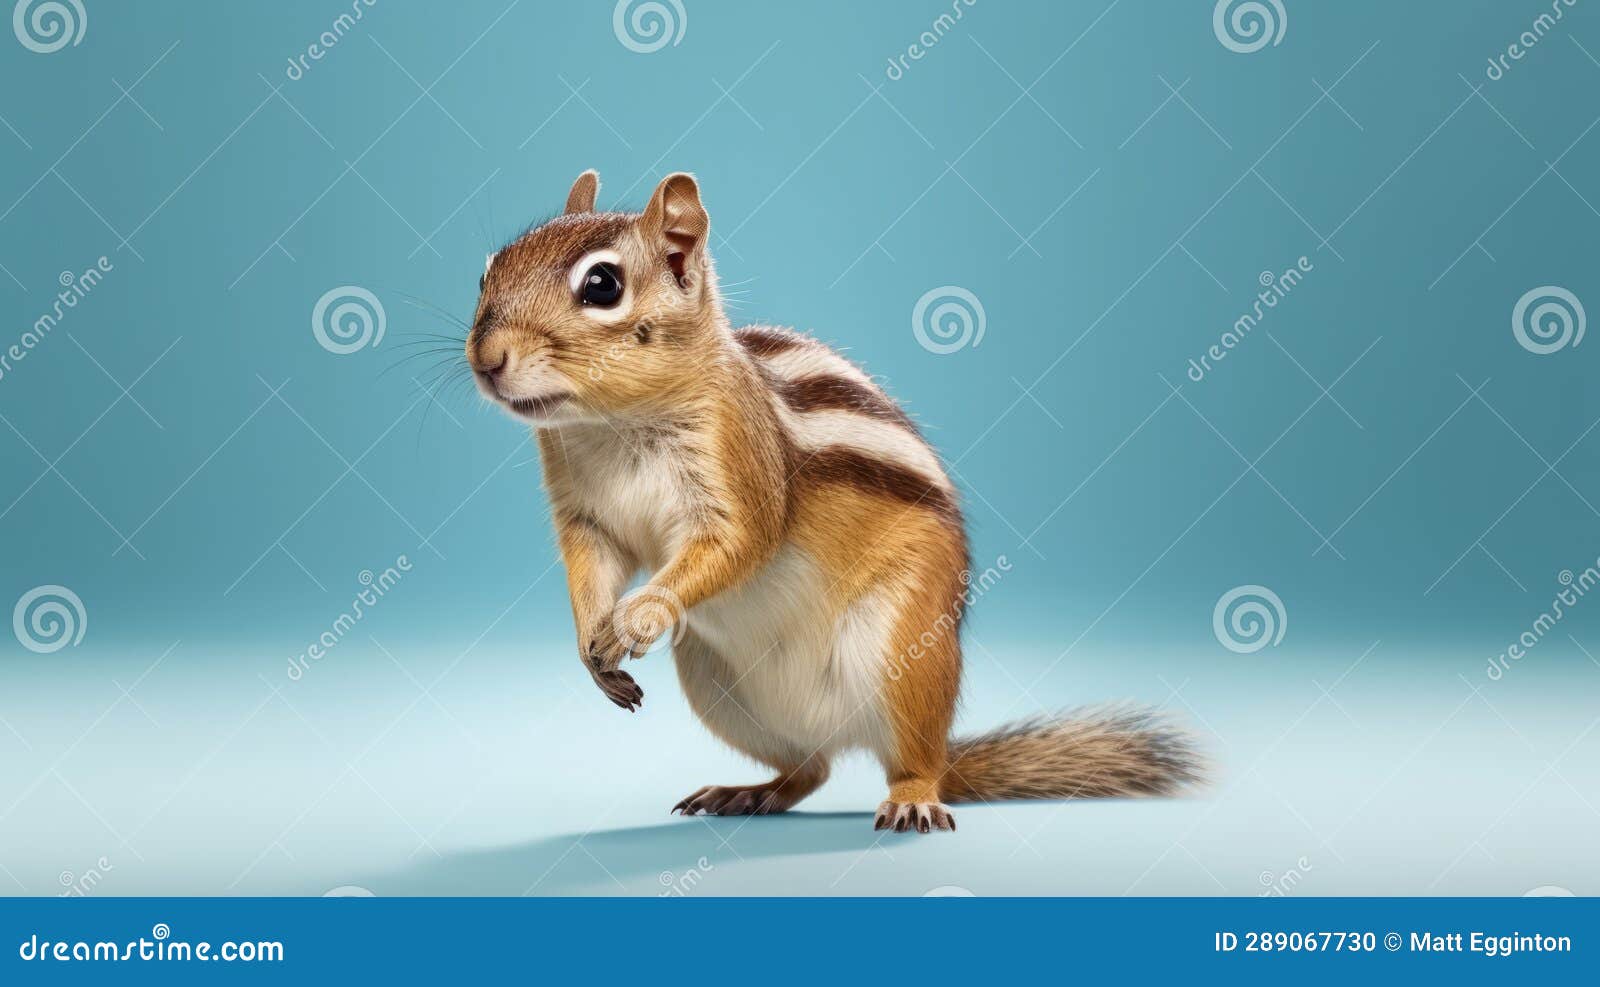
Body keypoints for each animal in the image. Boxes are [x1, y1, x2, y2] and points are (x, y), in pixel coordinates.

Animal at [466, 170, 1200, 832]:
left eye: (602, 285)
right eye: (487, 272)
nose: (485, 358)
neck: (614, 423)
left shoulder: (742, 473)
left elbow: (736, 544)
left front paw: (637, 617)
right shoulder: (585, 514)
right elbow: (592, 565)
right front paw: (592, 640)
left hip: (906, 653)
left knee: (911, 762)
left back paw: (911, 798)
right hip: (718, 690)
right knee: (809, 770)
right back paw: (750, 792)